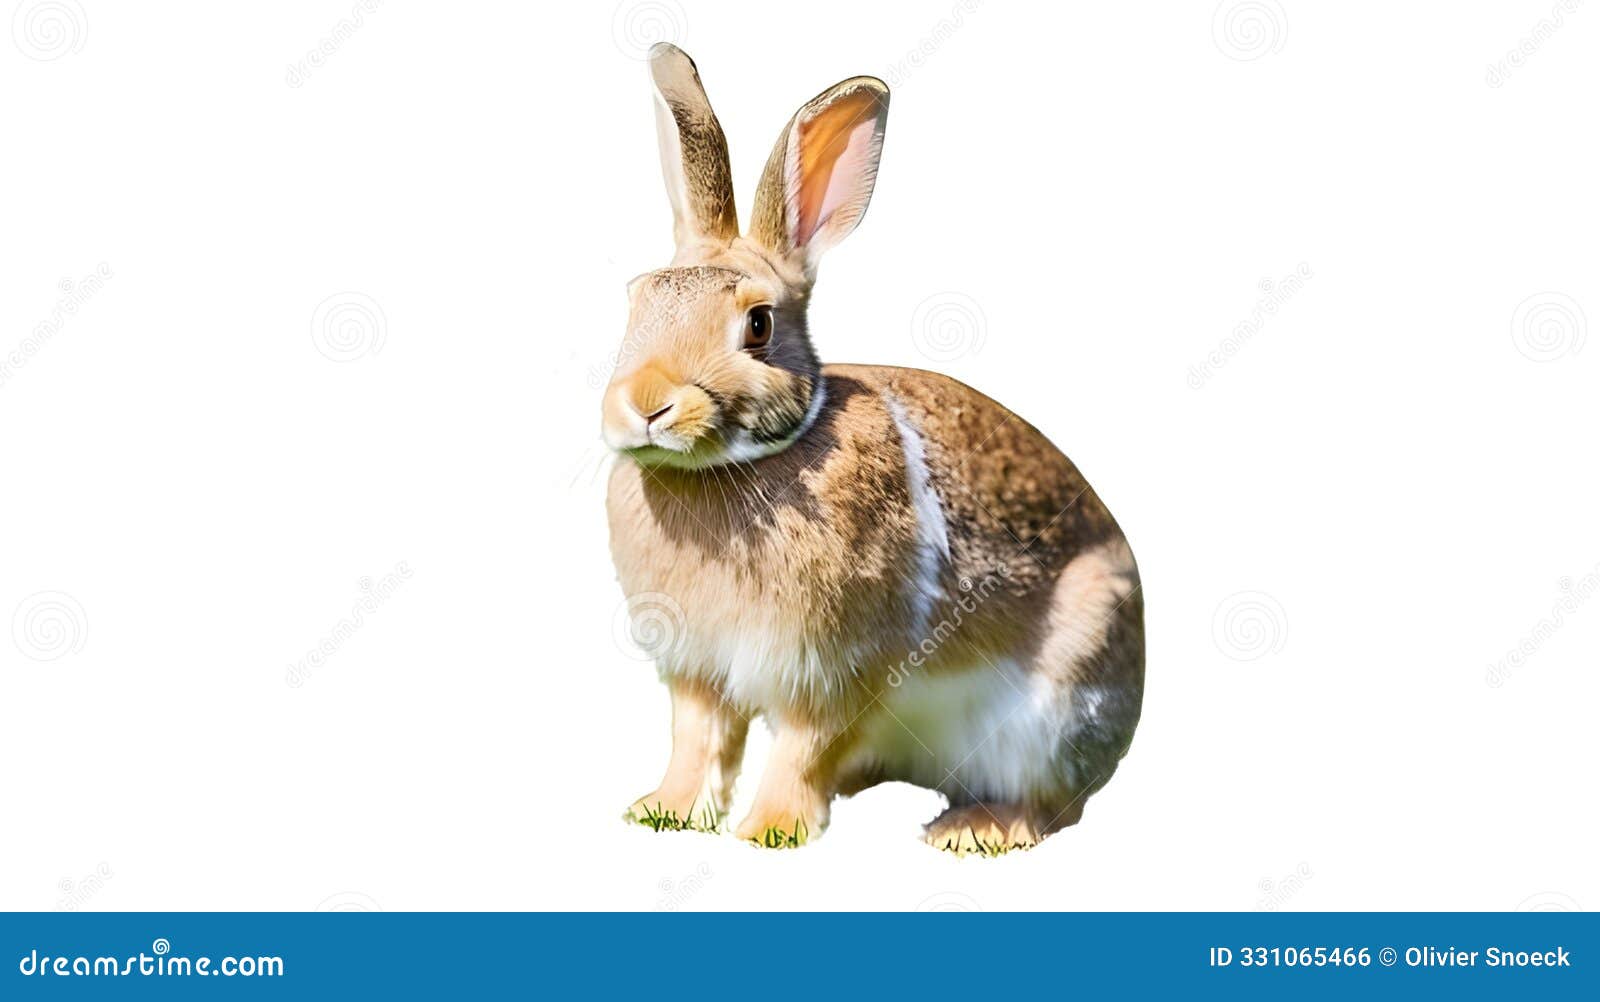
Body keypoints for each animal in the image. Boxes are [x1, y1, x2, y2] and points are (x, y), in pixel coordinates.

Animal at [601, 44, 1143, 852]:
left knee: (1051, 801)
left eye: (758, 325)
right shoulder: (697, 671)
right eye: (637, 300)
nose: (644, 405)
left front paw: (771, 833)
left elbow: (804, 744)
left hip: (1060, 699)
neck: (737, 466)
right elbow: (697, 740)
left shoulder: (839, 667)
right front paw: (664, 813)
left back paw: (973, 831)